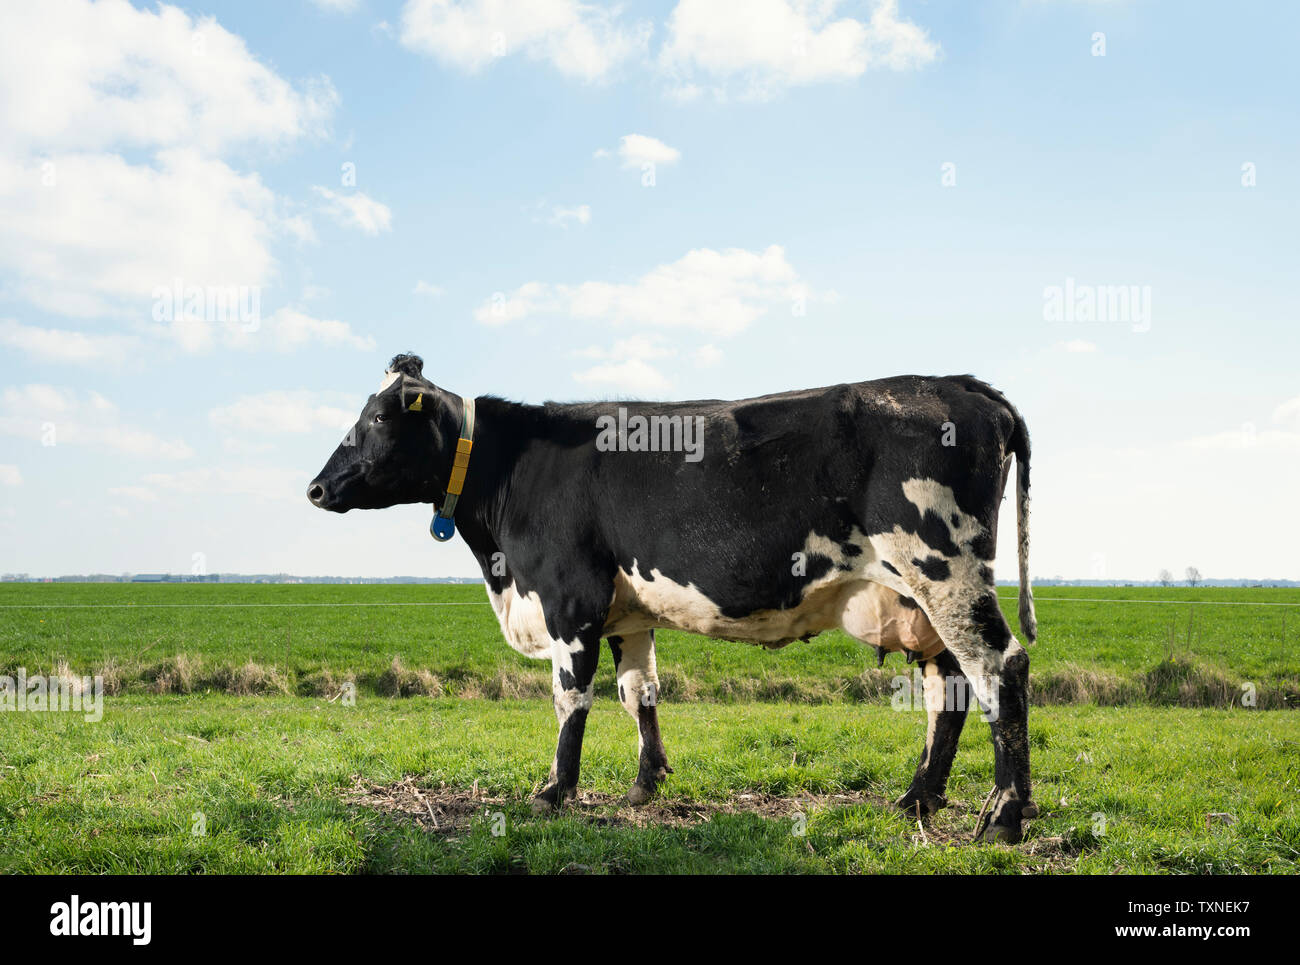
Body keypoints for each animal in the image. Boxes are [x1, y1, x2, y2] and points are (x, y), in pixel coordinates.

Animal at [308, 354, 1039, 843]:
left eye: (379, 417)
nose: (316, 488)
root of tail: (962, 384)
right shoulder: (626, 612)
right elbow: (640, 692)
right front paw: (646, 782)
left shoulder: (568, 598)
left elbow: (571, 699)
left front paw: (554, 791)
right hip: (919, 598)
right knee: (949, 688)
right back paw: (916, 800)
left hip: (944, 568)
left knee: (999, 667)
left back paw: (1004, 816)